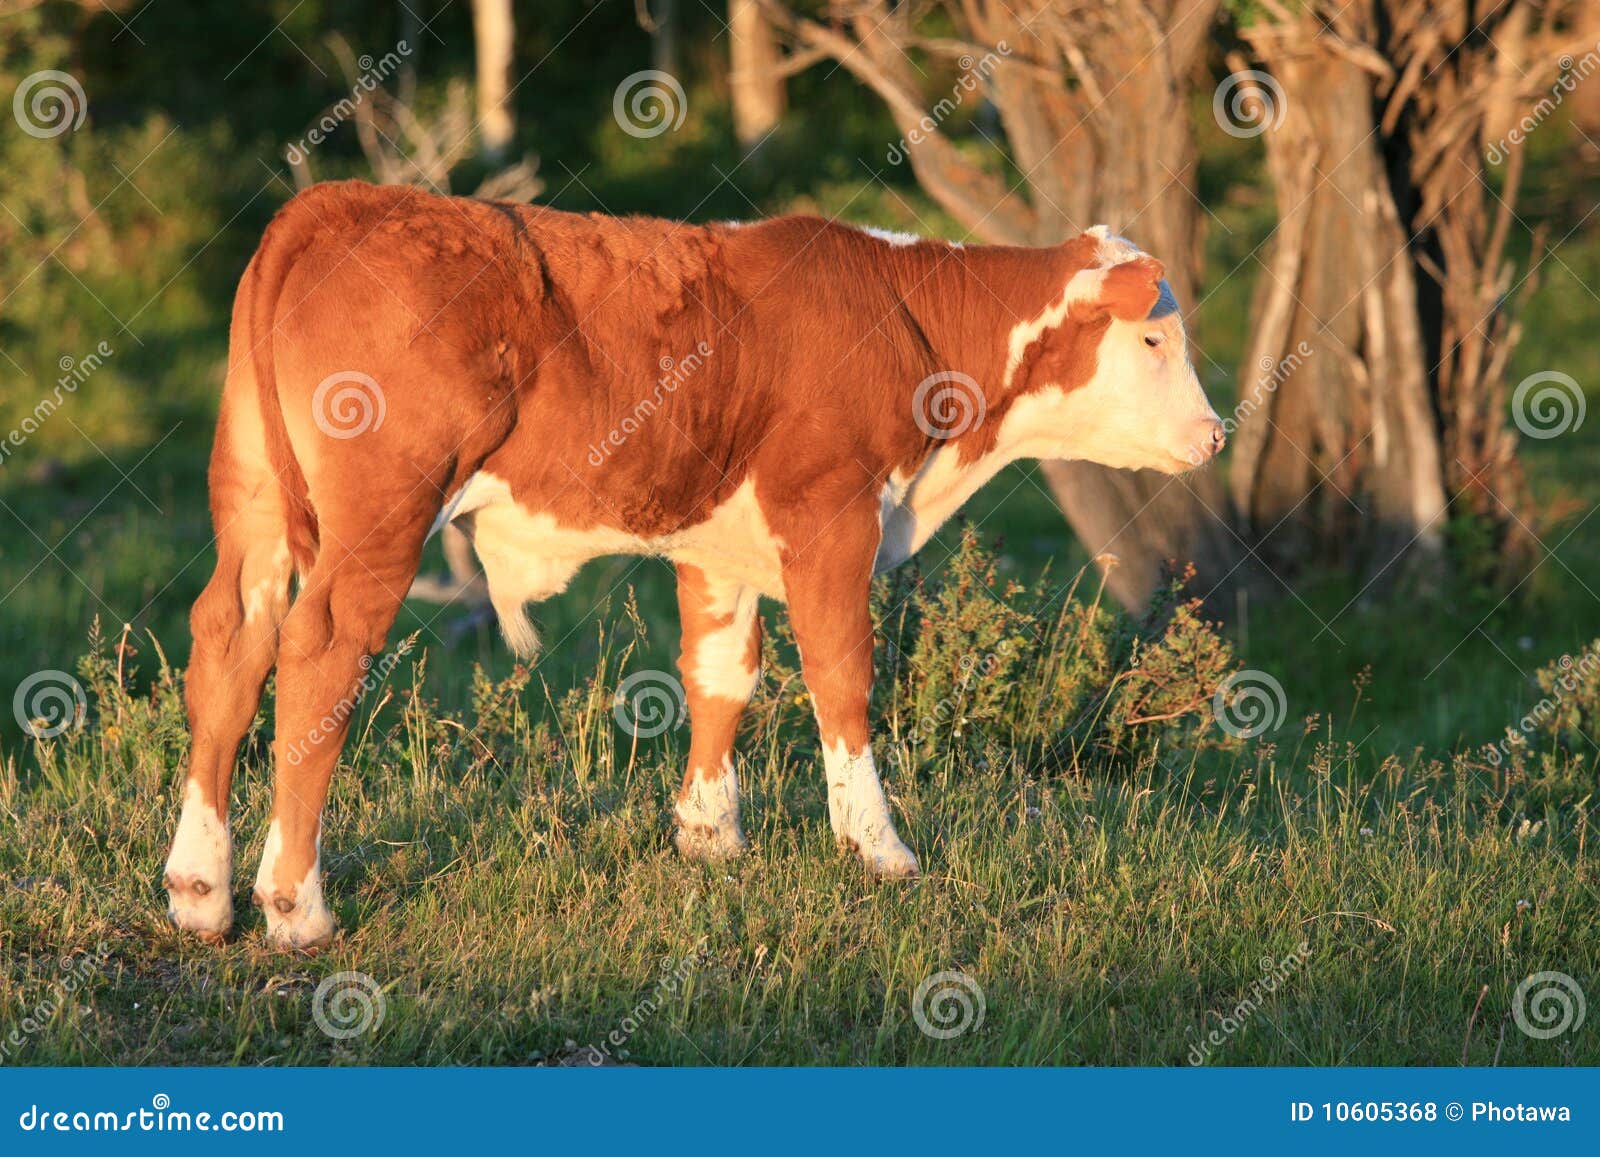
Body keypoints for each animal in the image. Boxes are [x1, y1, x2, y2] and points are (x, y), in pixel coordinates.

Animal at [162, 181, 1223, 949]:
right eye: (1154, 336)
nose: (1216, 434)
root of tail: (332, 201)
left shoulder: (720, 543)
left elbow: (722, 673)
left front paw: (710, 834)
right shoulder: (830, 513)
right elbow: (841, 673)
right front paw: (877, 844)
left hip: (251, 495)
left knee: (230, 639)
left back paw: (201, 891)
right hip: (381, 514)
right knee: (319, 653)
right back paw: (297, 908)